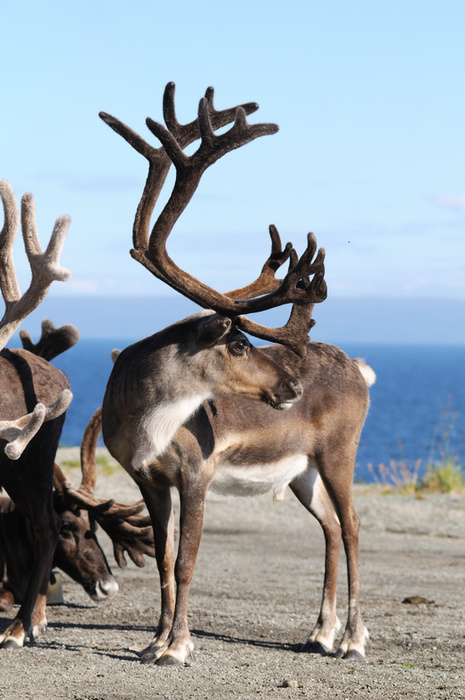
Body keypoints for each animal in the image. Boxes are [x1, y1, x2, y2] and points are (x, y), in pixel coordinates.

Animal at [99, 83, 376, 666]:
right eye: (241, 343)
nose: (292, 387)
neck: (146, 422)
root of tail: (359, 369)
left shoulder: (196, 472)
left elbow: (186, 561)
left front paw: (178, 646)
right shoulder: (146, 478)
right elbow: (162, 560)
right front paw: (152, 642)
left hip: (340, 451)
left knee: (354, 525)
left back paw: (353, 639)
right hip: (301, 471)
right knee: (330, 528)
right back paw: (320, 633)